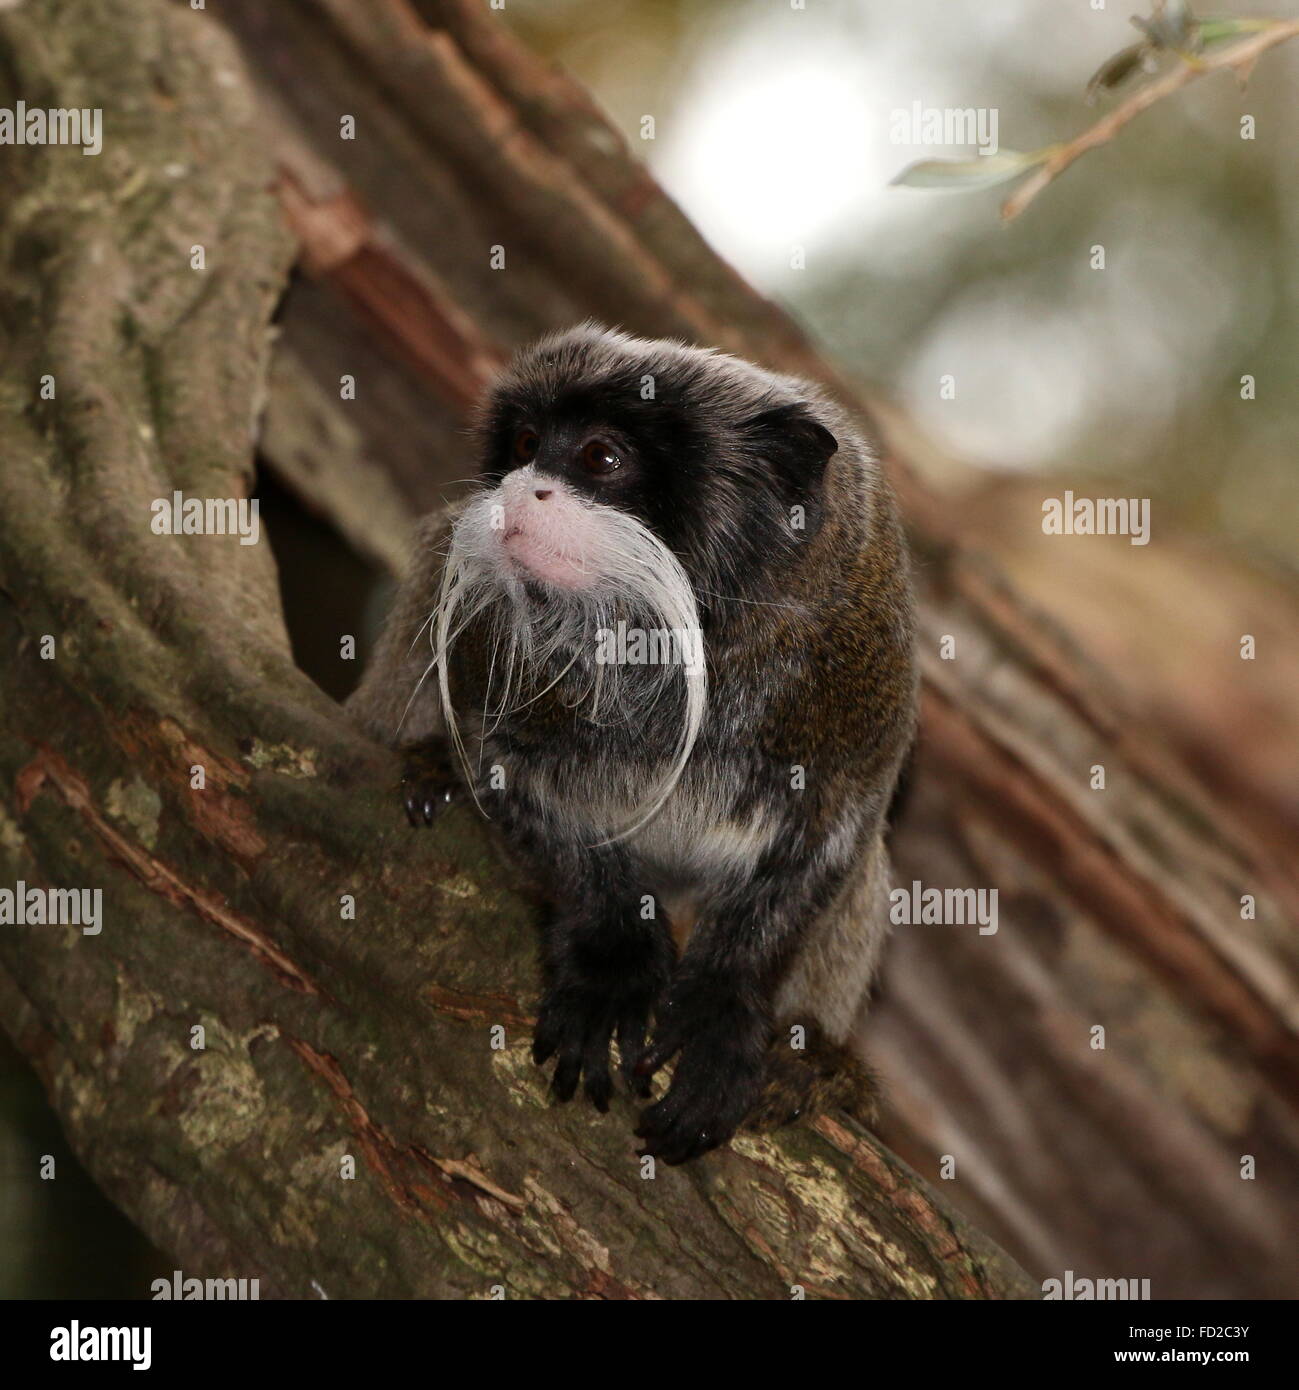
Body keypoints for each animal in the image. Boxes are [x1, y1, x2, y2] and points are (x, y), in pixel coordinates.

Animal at [347, 323, 917, 1165]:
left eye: (599, 457)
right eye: (525, 445)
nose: (521, 490)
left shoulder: (861, 650)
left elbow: (831, 837)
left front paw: (722, 1007)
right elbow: (509, 775)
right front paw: (611, 960)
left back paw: (817, 1058)